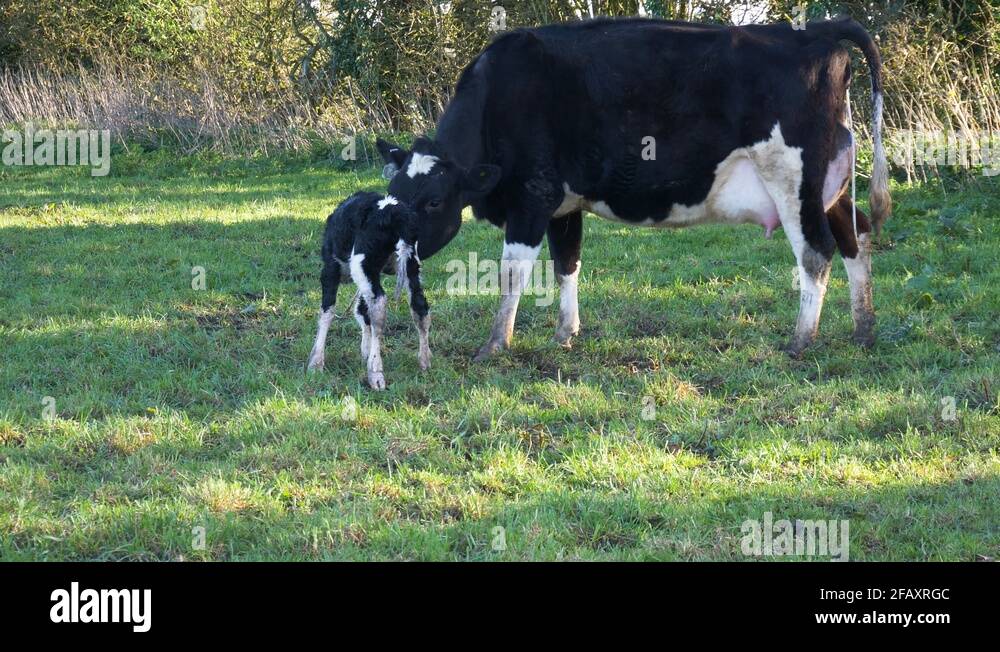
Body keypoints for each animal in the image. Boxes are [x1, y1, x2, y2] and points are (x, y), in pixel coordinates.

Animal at [306, 191, 430, 390]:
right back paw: (425, 361)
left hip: (362, 264)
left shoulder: (330, 269)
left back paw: (375, 373)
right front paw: (365, 349)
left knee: (379, 308)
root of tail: (393, 210)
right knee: (419, 307)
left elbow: (327, 312)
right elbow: (362, 311)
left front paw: (316, 363)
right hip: (412, 264)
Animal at [376, 15, 891, 361]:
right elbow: (567, 263)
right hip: (831, 184)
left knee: (817, 251)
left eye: (434, 201)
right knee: (856, 235)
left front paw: (495, 344)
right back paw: (864, 329)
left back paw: (801, 341)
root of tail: (815, 30)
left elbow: (511, 273)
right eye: (393, 196)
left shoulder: (532, 197)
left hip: (793, 179)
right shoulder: (564, 203)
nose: (384, 261)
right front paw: (565, 333)